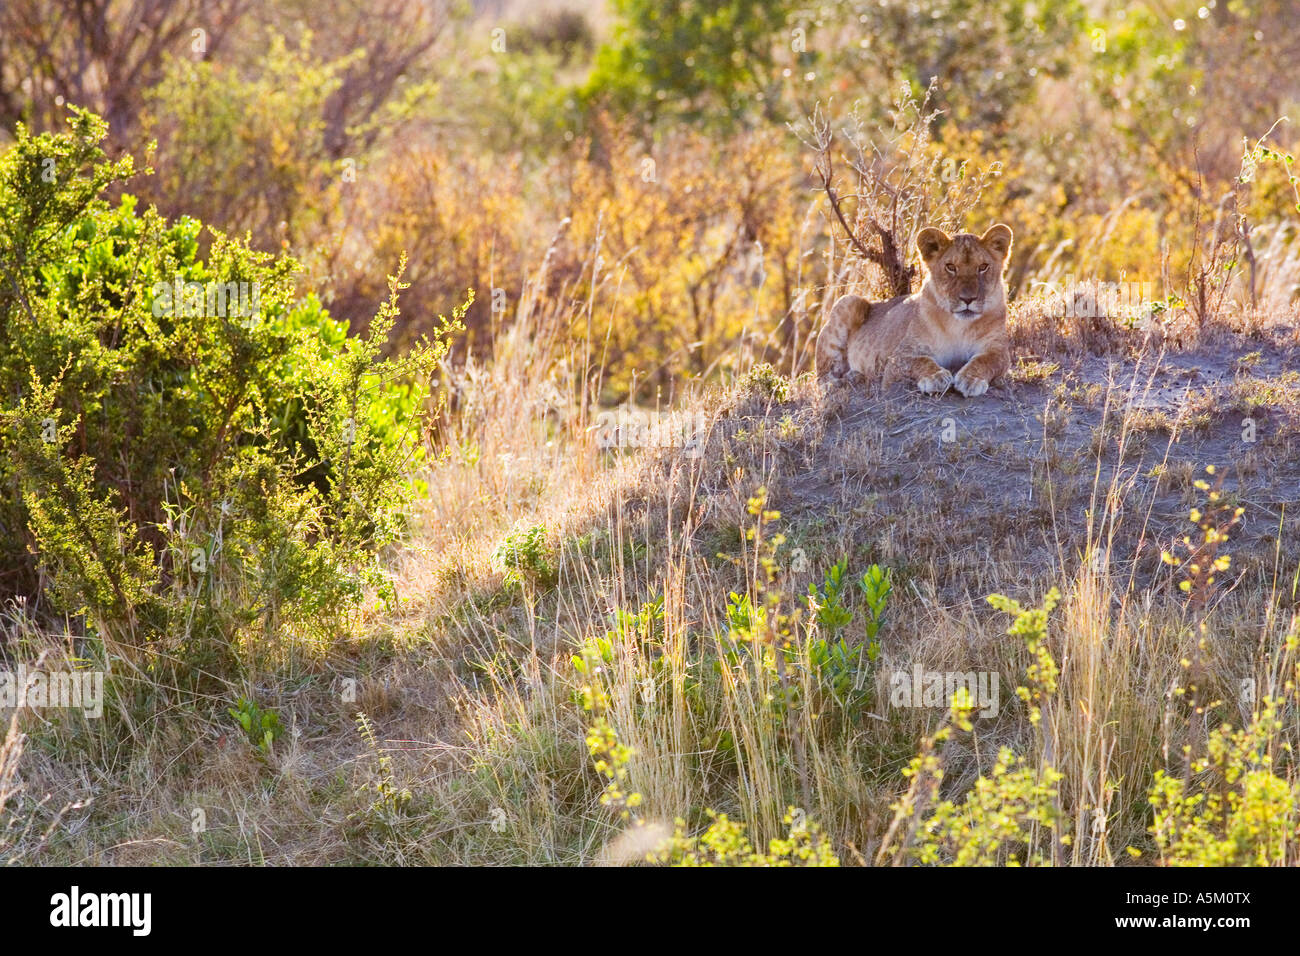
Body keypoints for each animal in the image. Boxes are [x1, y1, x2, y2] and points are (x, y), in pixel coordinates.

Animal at [816, 224, 1014, 397]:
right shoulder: (898, 358)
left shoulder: (997, 350)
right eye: (950, 267)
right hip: (848, 301)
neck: (959, 326)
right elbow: (918, 361)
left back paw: (854, 375)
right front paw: (936, 377)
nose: (967, 299)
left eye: (983, 267)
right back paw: (842, 381)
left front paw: (970, 379)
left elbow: (986, 360)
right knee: (822, 378)